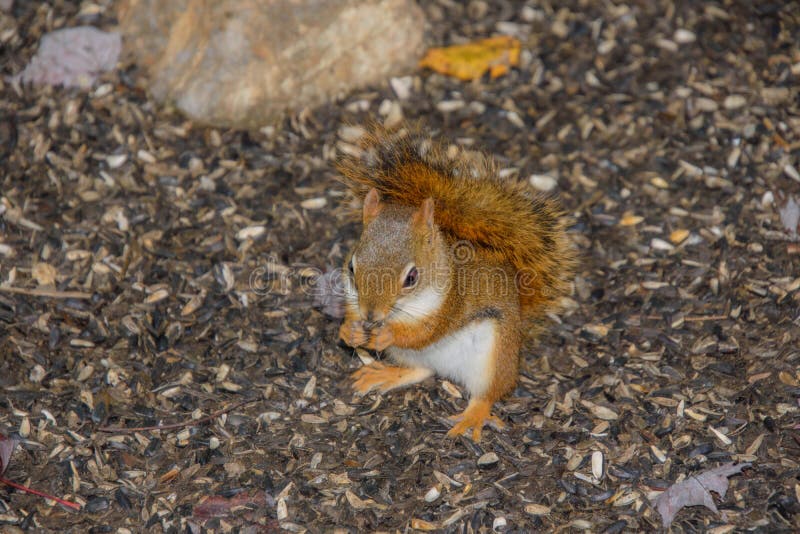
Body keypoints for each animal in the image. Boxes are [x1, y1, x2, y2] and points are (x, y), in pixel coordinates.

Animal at [336, 124, 575, 441]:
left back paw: (473, 417)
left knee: (488, 393)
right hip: (418, 359)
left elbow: (423, 333)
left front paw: (385, 335)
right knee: (422, 371)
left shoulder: (451, 304)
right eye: (351, 266)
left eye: (411, 277)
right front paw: (349, 331)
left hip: (494, 355)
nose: (371, 316)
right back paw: (385, 372)